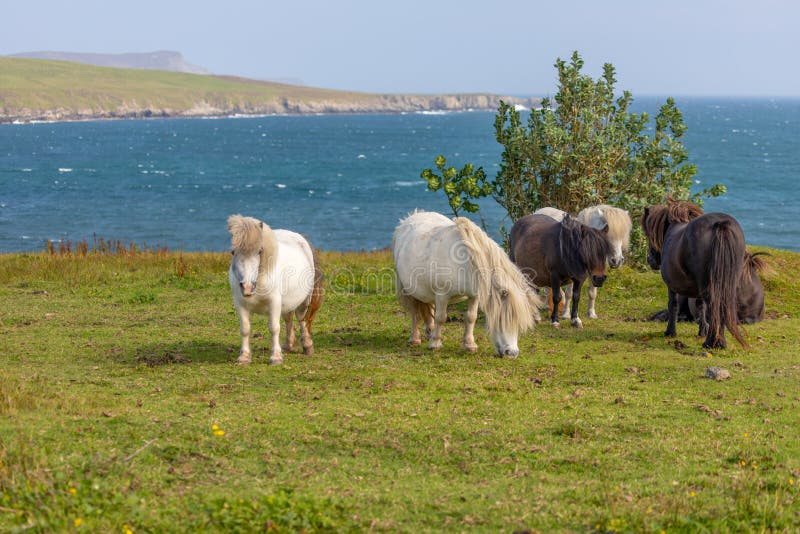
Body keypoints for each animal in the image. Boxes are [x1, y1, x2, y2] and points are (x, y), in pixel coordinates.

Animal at [227, 215, 324, 365]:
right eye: (233, 252)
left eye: (259, 251)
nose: (247, 287)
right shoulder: (240, 304)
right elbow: (245, 329)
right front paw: (244, 357)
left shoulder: (274, 302)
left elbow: (274, 328)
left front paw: (276, 357)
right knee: (288, 319)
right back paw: (288, 346)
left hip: (303, 301)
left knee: (301, 320)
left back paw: (307, 346)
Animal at [392, 211, 542, 358]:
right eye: (502, 319)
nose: (512, 353)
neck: (466, 263)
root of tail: (411, 217)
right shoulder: (442, 295)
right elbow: (441, 317)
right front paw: (435, 344)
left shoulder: (474, 295)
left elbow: (471, 317)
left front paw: (469, 345)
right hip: (408, 290)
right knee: (415, 312)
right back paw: (415, 338)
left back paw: (430, 332)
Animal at [641, 200, 747, 349]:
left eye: (649, 235)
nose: (650, 260)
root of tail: (721, 224)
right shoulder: (699, 289)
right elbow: (700, 306)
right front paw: (702, 330)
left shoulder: (671, 286)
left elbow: (673, 305)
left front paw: (670, 332)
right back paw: (719, 342)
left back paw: (711, 342)